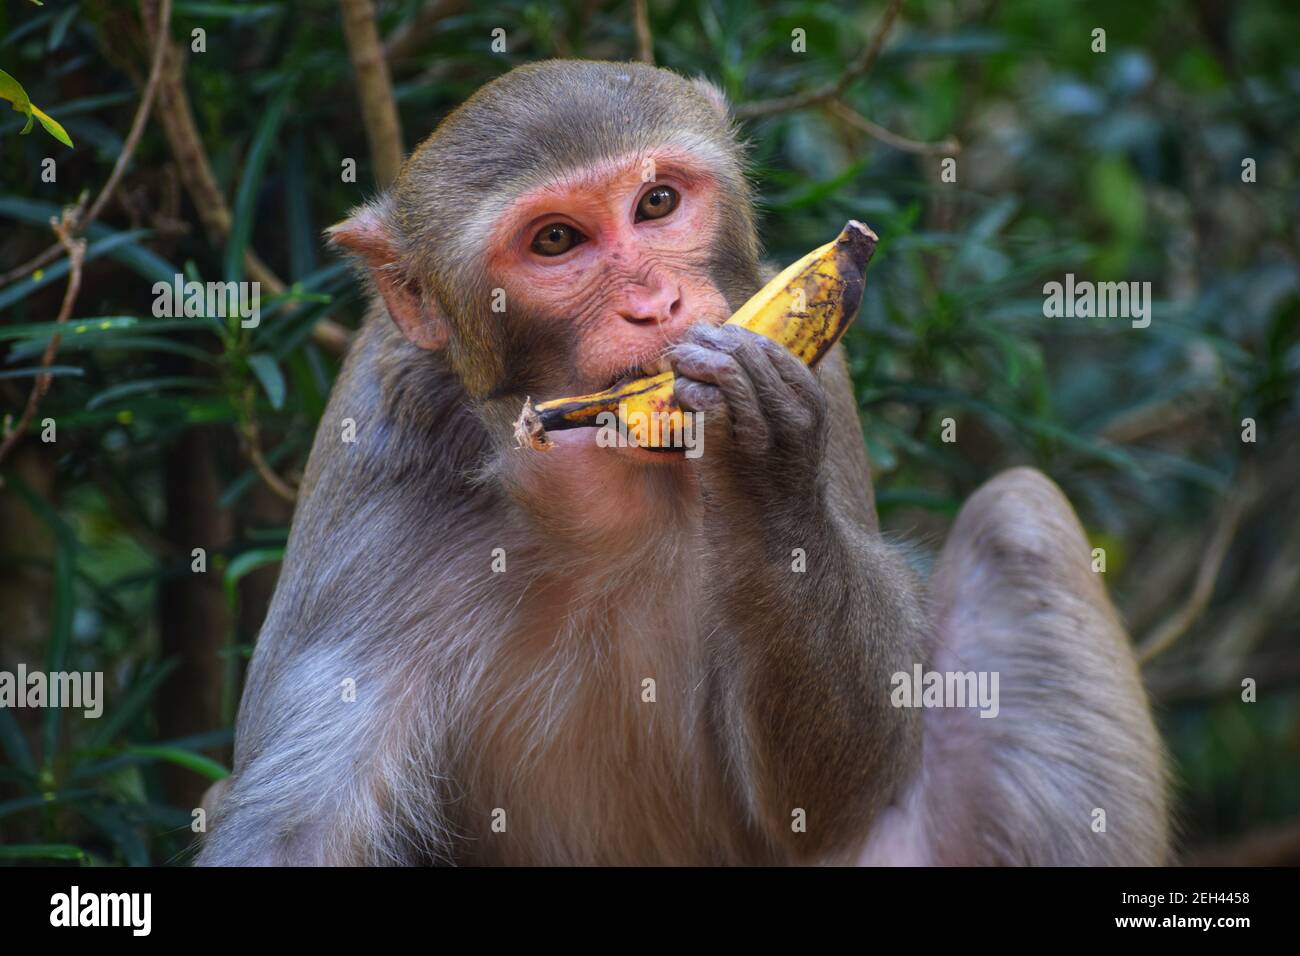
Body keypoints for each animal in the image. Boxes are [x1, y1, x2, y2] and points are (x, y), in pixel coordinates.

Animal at [197, 60, 1168, 866]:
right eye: (556, 242)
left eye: (657, 203)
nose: (655, 302)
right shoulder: (378, 459)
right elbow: (289, 824)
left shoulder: (823, 373)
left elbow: (839, 791)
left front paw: (766, 462)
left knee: (1019, 519)